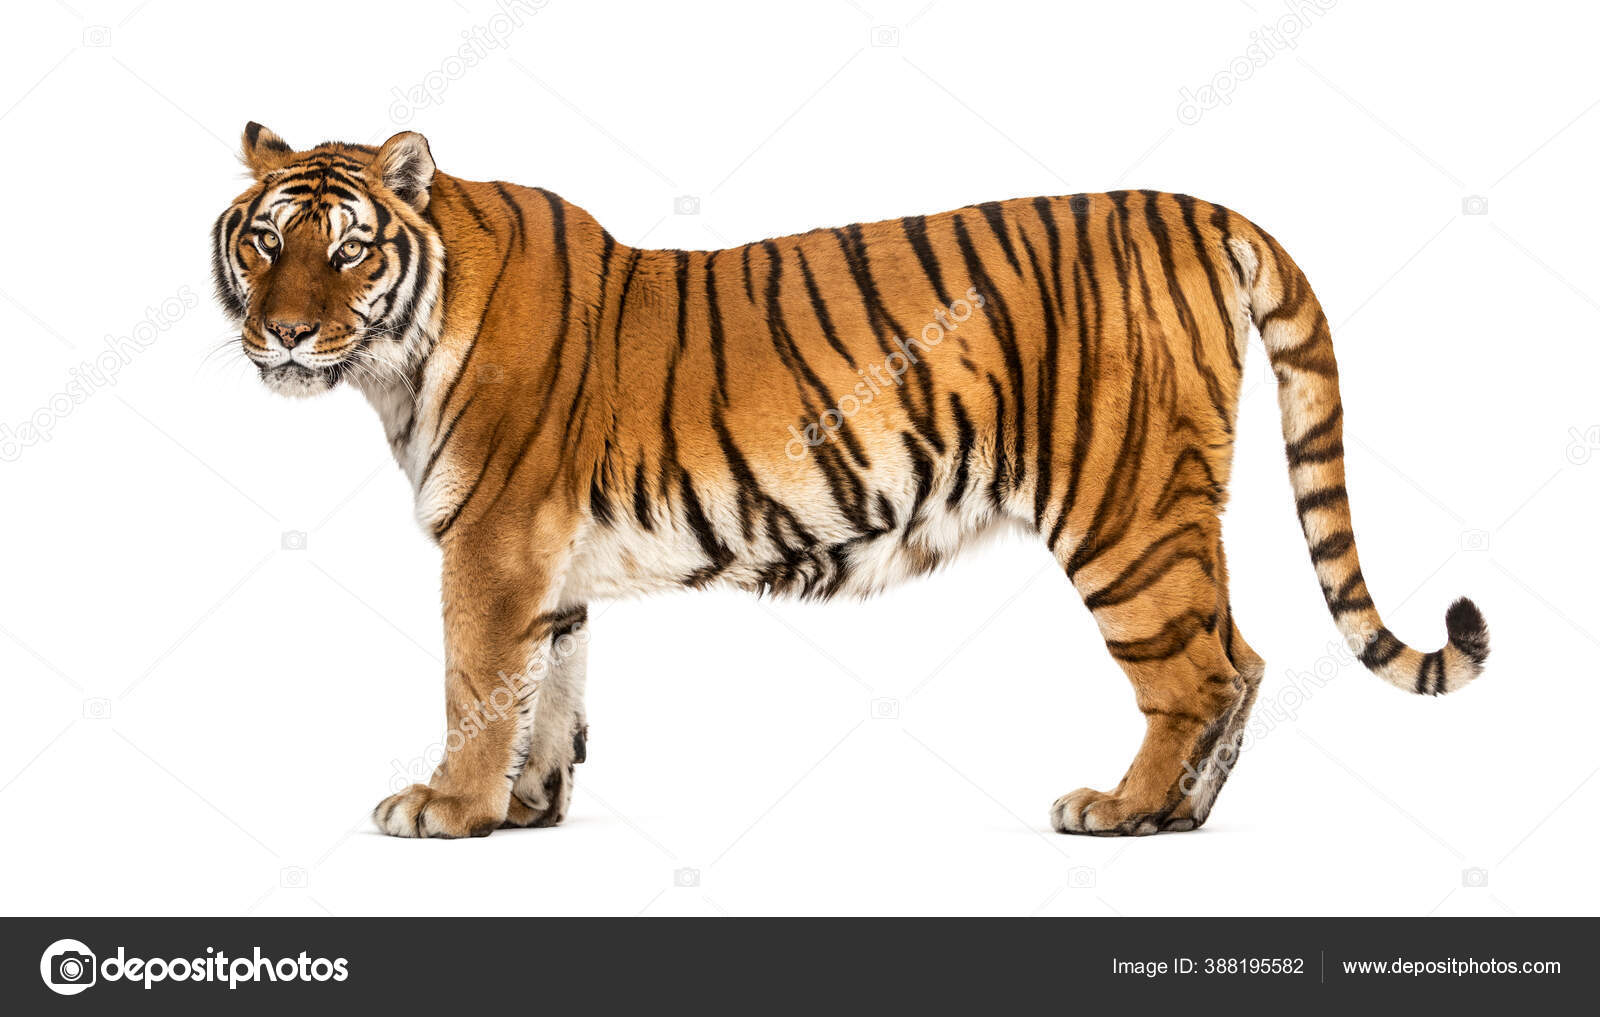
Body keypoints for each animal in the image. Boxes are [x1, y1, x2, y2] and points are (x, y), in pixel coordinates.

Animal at [211, 122, 1489, 839]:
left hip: (1124, 512)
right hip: (1169, 507)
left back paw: (1121, 811)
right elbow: (547, 693)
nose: (283, 334)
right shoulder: (546, 565)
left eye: (348, 250)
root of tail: (1194, 208)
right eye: (264, 241)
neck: (397, 355)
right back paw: (1178, 817)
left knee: (1197, 671)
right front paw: (522, 814)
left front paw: (446, 810)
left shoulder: (493, 543)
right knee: (1245, 659)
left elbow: (476, 687)